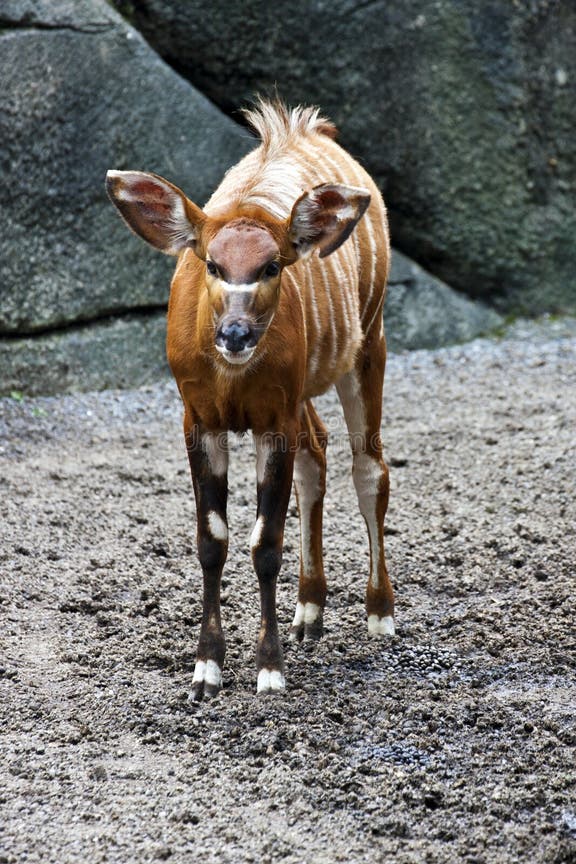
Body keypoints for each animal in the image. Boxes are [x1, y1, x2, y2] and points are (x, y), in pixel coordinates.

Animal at [106, 99, 395, 700]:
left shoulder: (271, 423)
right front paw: (206, 671)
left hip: (369, 342)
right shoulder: (201, 422)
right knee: (319, 452)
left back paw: (380, 613)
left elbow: (265, 542)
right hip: (306, 392)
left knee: (369, 466)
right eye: (212, 264)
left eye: (271, 265)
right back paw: (309, 612)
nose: (236, 334)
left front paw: (269, 671)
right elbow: (211, 539)